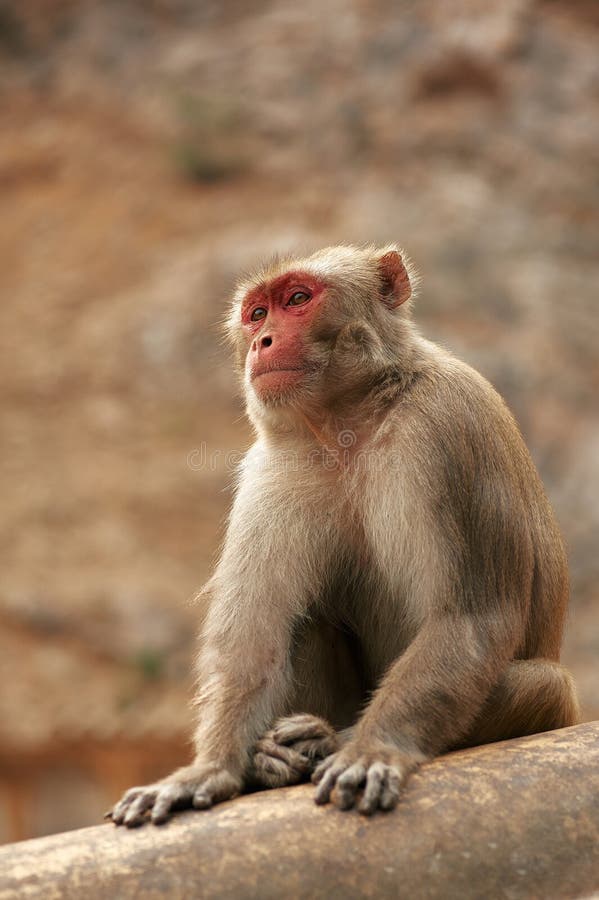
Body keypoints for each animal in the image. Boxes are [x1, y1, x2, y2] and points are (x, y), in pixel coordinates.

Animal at [109, 244, 579, 826]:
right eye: (257, 314)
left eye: (297, 299)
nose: (262, 342)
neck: (347, 426)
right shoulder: (273, 471)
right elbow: (254, 641)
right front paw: (211, 769)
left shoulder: (450, 421)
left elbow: (471, 620)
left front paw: (371, 747)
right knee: (305, 621)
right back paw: (272, 760)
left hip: (558, 705)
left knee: (545, 684)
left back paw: (325, 740)